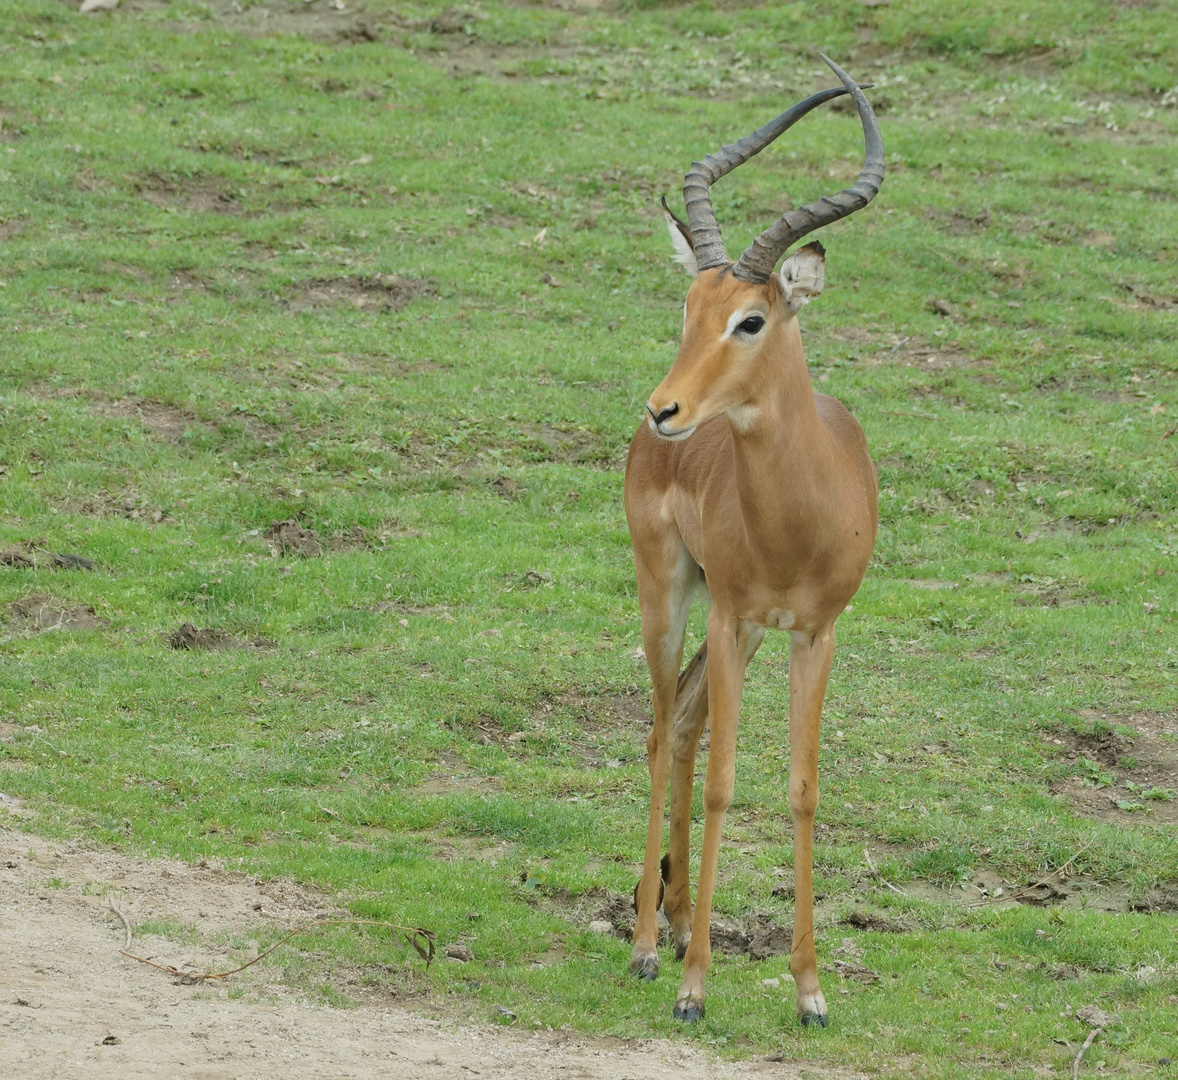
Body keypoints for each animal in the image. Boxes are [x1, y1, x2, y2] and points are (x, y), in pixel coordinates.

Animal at [626, 58, 885, 1027]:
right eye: (691, 303)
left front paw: (810, 992)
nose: (664, 408)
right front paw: (696, 987)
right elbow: (725, 782)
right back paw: (649, 946)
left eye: (751, 319)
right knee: (664, 728)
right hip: (670, 596)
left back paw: (671, 922)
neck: (799, 522)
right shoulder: (737, 618)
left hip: (729, 624)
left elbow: (803, 790)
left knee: (687, 721)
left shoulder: (816, 633)